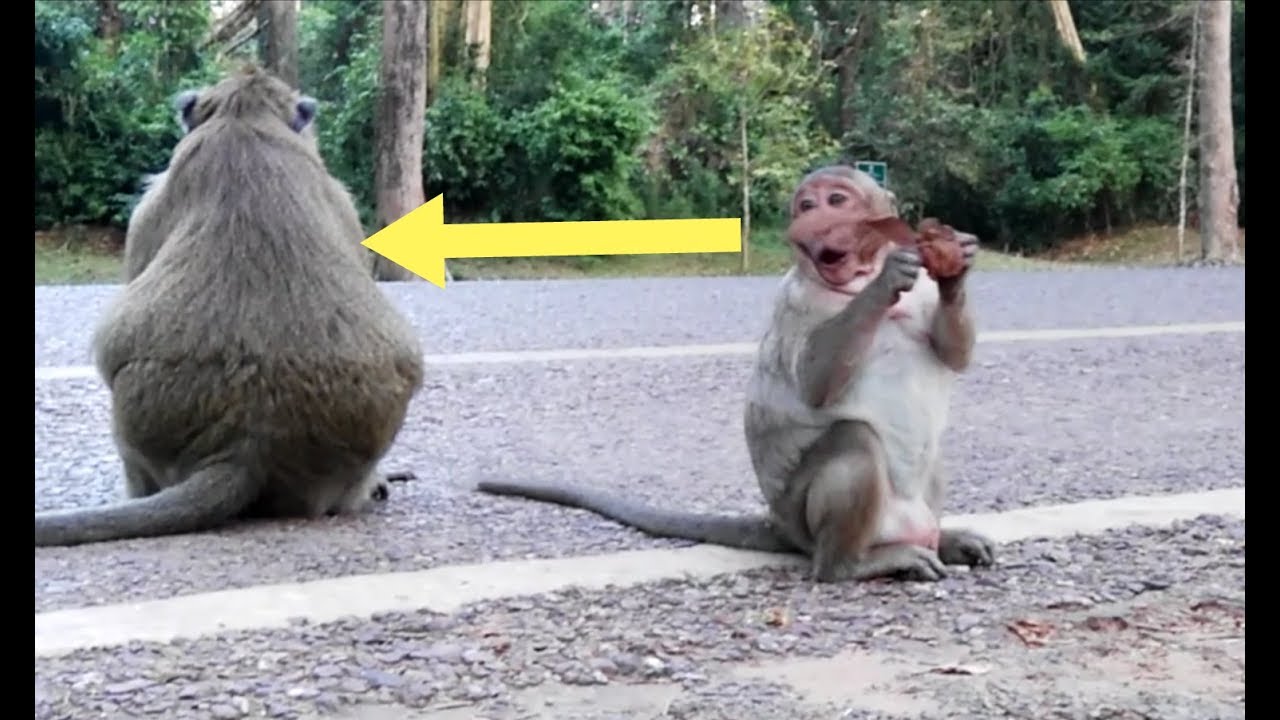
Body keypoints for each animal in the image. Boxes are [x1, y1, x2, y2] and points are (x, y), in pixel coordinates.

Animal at [477, 165, 995, 582]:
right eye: (807, 205)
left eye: (836, 200)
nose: (814, 218)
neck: (854, 280)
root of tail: (779, 523)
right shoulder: (795, 302)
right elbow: (816, 383)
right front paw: (889, 279)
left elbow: (953, 353)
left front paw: (955, 267)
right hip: (802, 516)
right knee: (854, 440)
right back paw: (853, 564)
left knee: (930, 455)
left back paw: (944, 540)